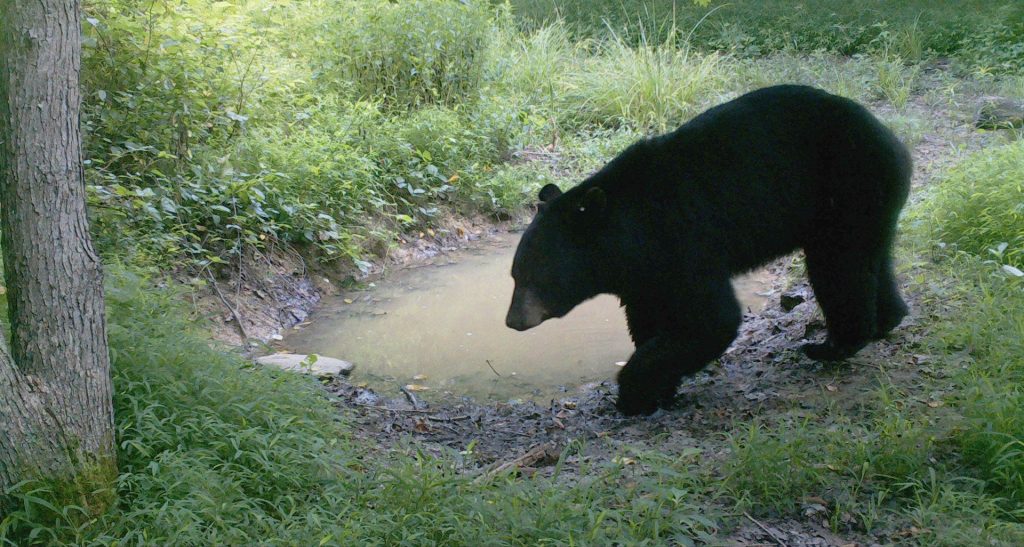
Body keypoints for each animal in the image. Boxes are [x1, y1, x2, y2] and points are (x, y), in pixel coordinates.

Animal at [505, 85, 912, 416]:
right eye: (515, 274)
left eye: (534, 275)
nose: (512, 321)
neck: (631, 229)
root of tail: (891, 137)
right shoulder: (645, 272)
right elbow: (648, 318)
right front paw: (658, 389)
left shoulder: (684, 241)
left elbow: (710, 320)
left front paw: (634, 394)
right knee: (873, 259)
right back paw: (887, 319)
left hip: (847, 186)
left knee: (838, 266)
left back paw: (835, 344)